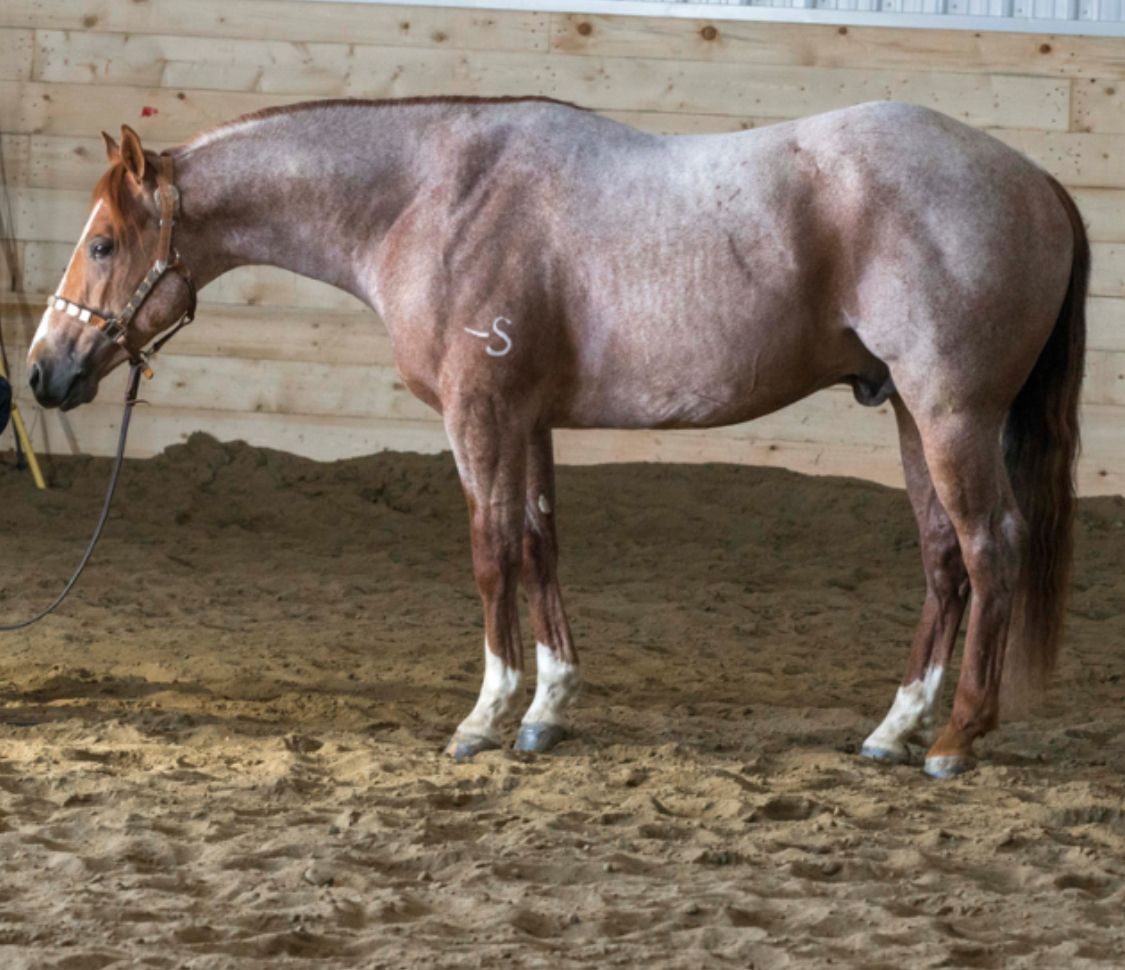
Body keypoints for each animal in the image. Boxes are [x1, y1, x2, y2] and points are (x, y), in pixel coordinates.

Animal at [25, 97, 1087, 778]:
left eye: (104, 242)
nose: (43, 371)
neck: (432, 199)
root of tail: (1034, 178)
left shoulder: (480, 415)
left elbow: (490, 553)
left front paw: (485, 716)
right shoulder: (526, 420)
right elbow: (538, 546)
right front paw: (546, 710)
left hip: (950, 415)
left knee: (989, 553)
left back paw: (954, 740)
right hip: (909, 413)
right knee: (944, 559)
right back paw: (893, 730)